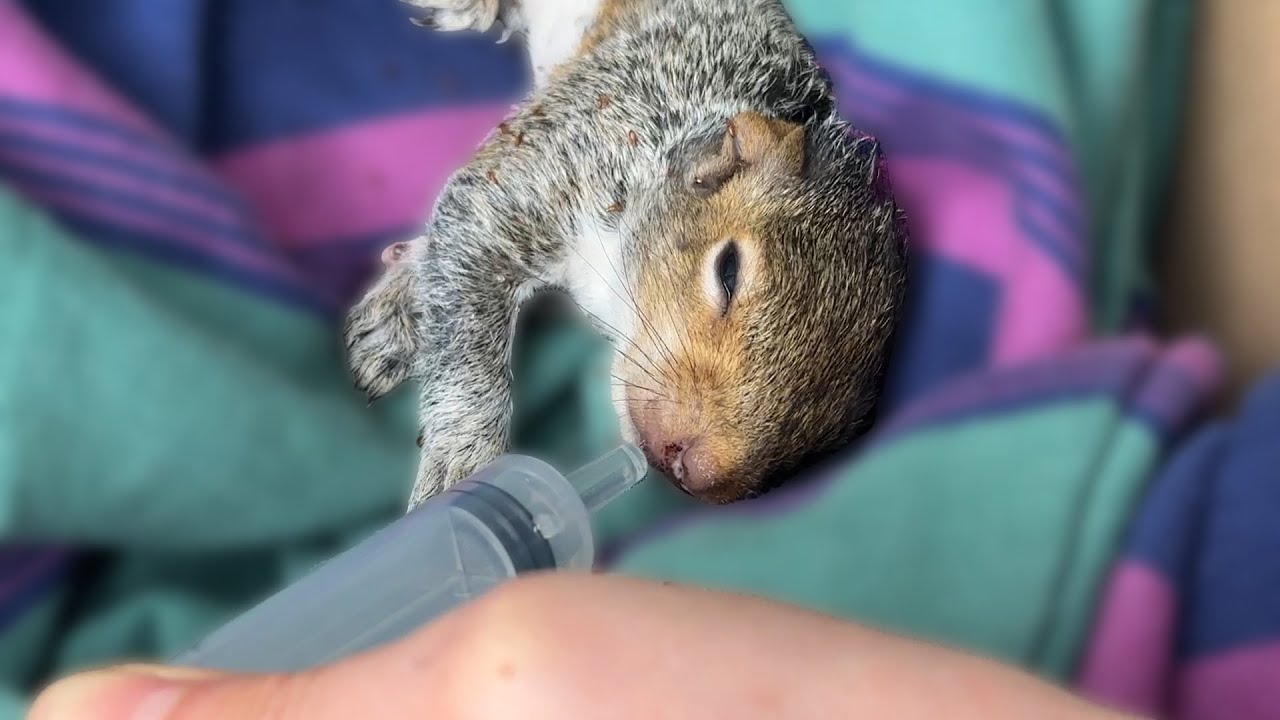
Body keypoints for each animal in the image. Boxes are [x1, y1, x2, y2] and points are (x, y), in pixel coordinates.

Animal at [345, 0, 909, 510]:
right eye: (728, 270)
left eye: (829, 442)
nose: (694, 467)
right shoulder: (556, 162)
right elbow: (466, 307)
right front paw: (462, 473)